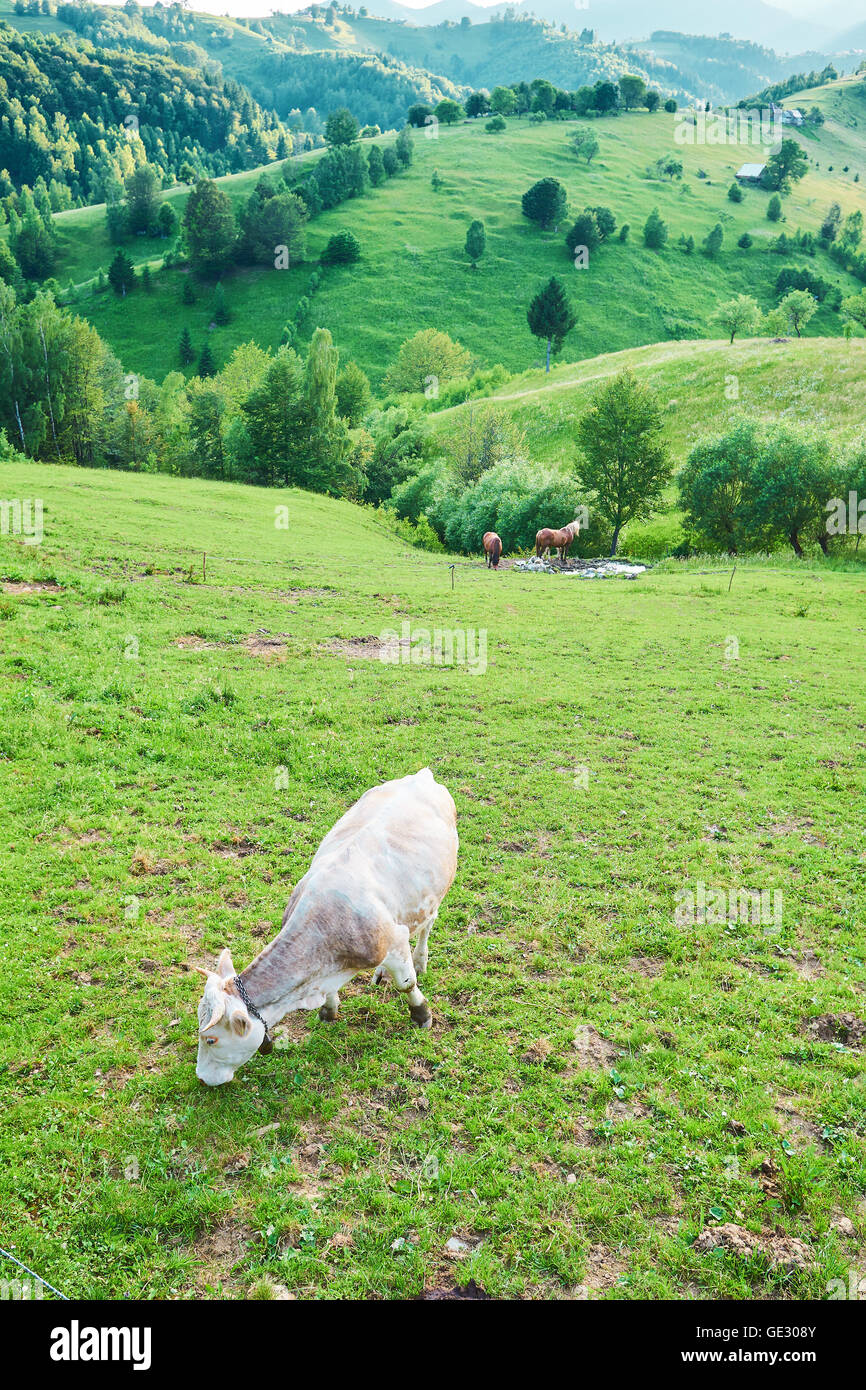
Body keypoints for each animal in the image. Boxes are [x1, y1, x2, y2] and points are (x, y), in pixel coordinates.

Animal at [194, 768, 458, 1086]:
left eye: (211, 1039)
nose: (202, 1077)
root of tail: (422, 775)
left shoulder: (394, 939)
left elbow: (407, 983)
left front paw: (421, 1014)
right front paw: (328, 1010)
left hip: (436, 892)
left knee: (427, 926)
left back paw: (419, 960)